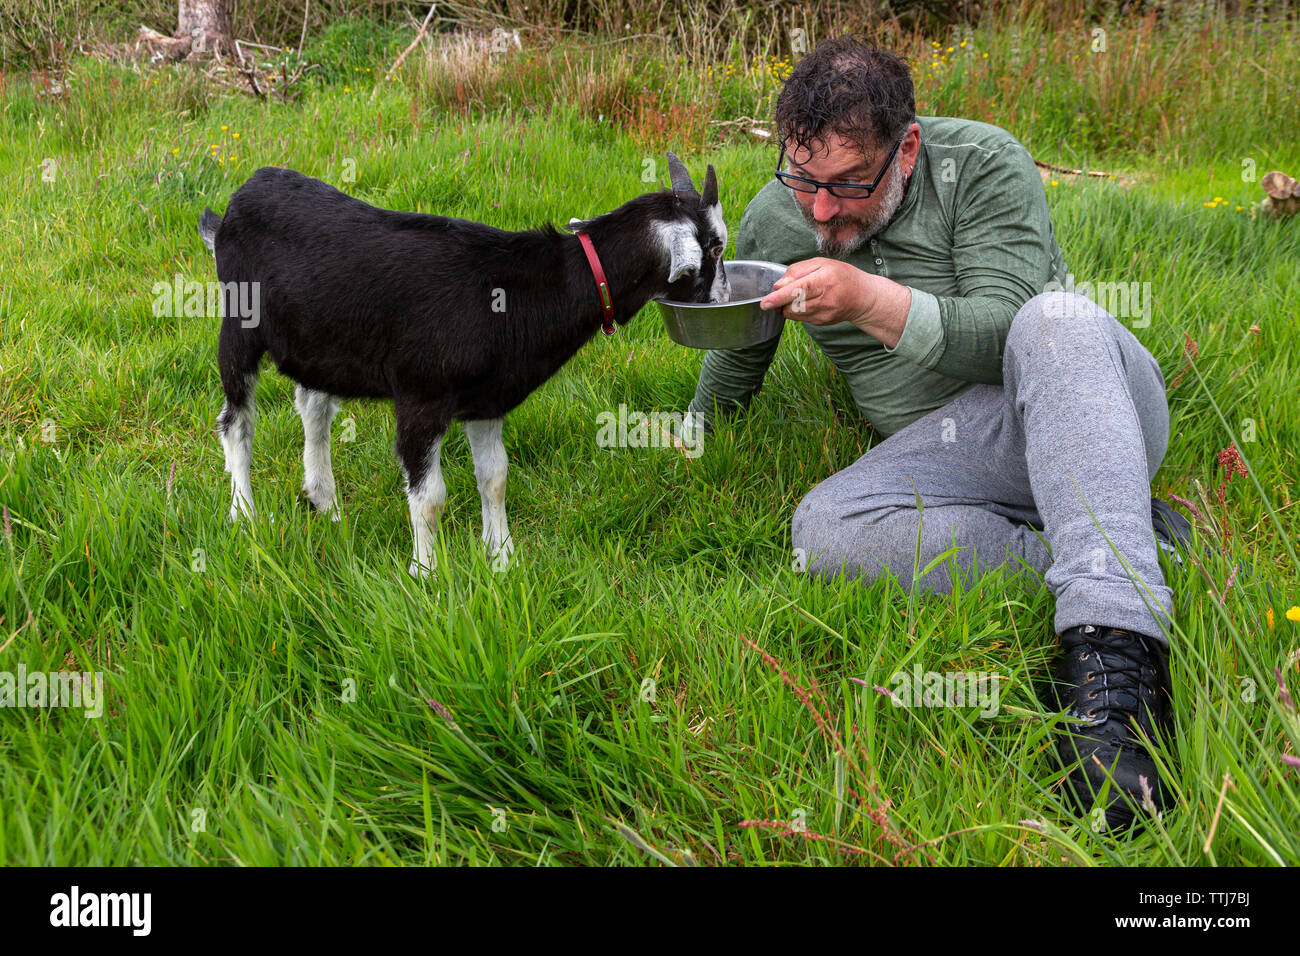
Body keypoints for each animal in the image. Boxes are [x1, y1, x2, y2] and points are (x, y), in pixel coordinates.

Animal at [198, 153, 728, 577]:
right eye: (715, 249)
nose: (723, 301)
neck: (520, 291)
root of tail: (237, 200)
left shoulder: (487, 399)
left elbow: (495, 478)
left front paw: (502, 559)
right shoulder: (420, 397)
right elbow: (430, 497)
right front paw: (426, 574)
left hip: (318, 342)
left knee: (312, 406)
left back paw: (326, 504)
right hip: (238, 325)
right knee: (236, 421)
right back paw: (245, 513)